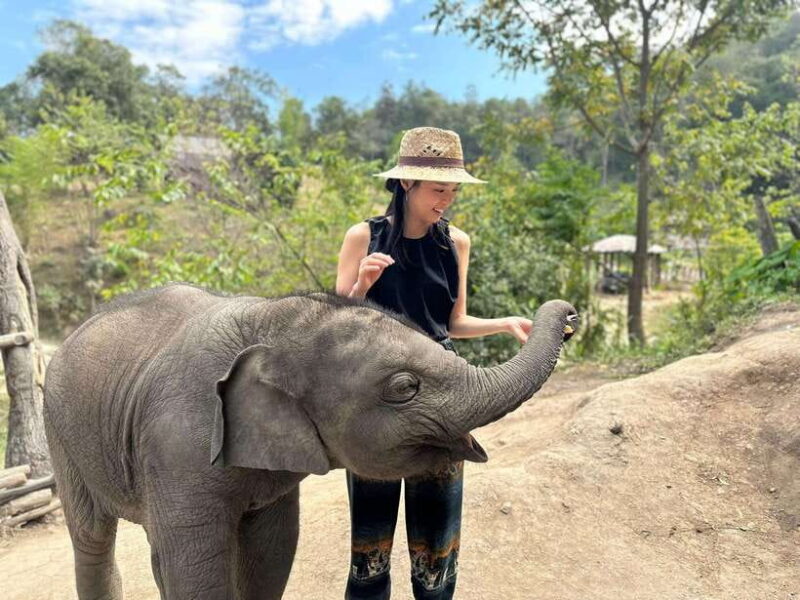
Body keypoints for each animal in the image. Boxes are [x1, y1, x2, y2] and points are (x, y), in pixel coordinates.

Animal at [43, 282, 577, 600]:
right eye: (404, 387)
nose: (570, 314)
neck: (271, 324)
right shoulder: (178, 444)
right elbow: (196, 565)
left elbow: (271, 551)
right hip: (60, 435)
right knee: (93, 539)